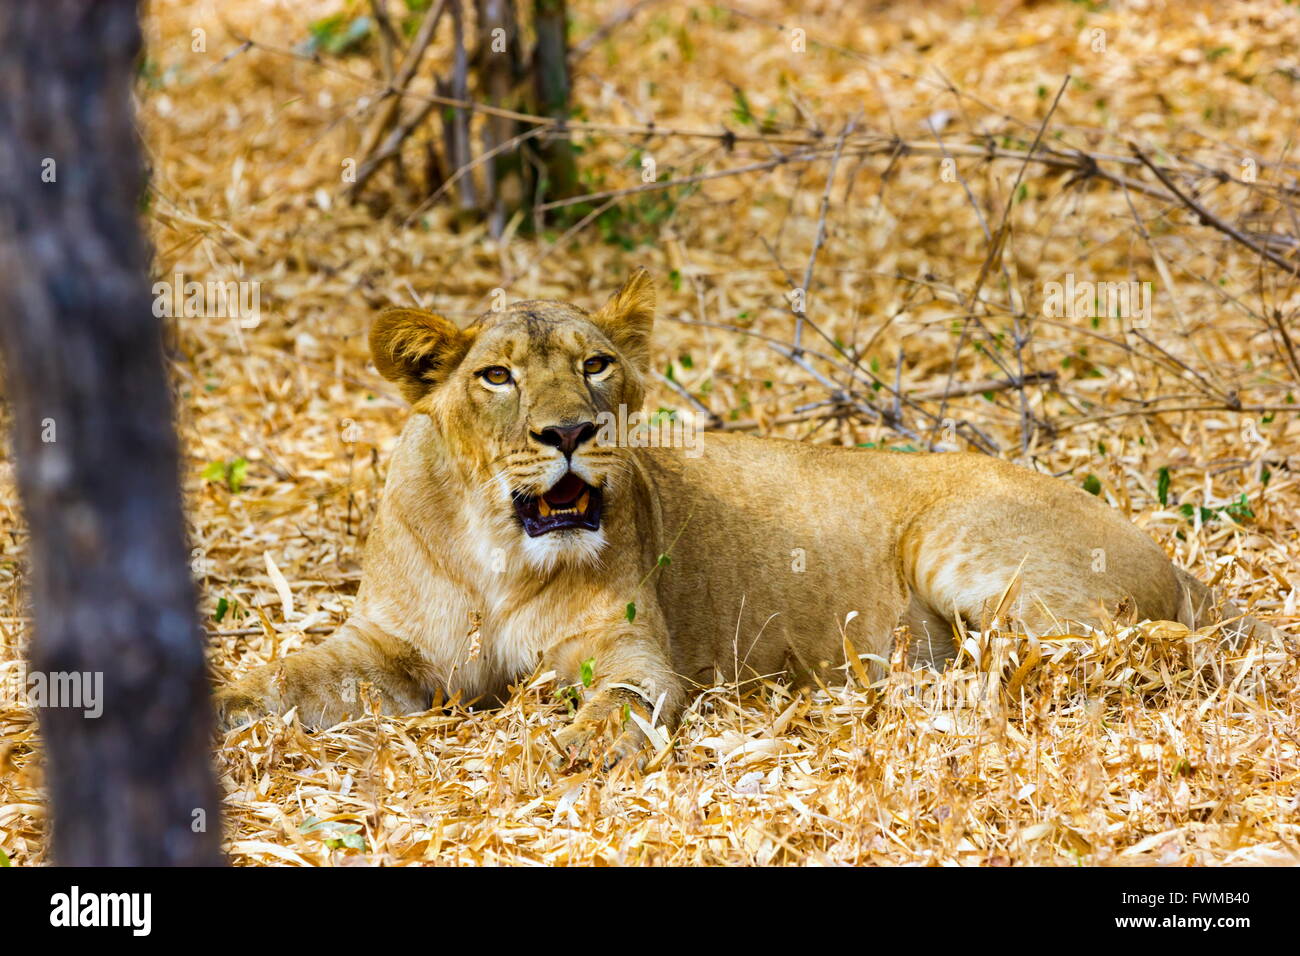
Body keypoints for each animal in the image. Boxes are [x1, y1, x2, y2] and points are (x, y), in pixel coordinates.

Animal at [215, 269, 1278, 766]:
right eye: (497, 376)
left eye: (597, 364)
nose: (571, 431)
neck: (497, 553)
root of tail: (1170, 555)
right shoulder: (386, 650)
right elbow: (280, 680)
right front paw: (210, 708)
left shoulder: (634, 653)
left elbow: (617, 702)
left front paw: (575, 744)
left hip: (958, 540)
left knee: (1129, 650)